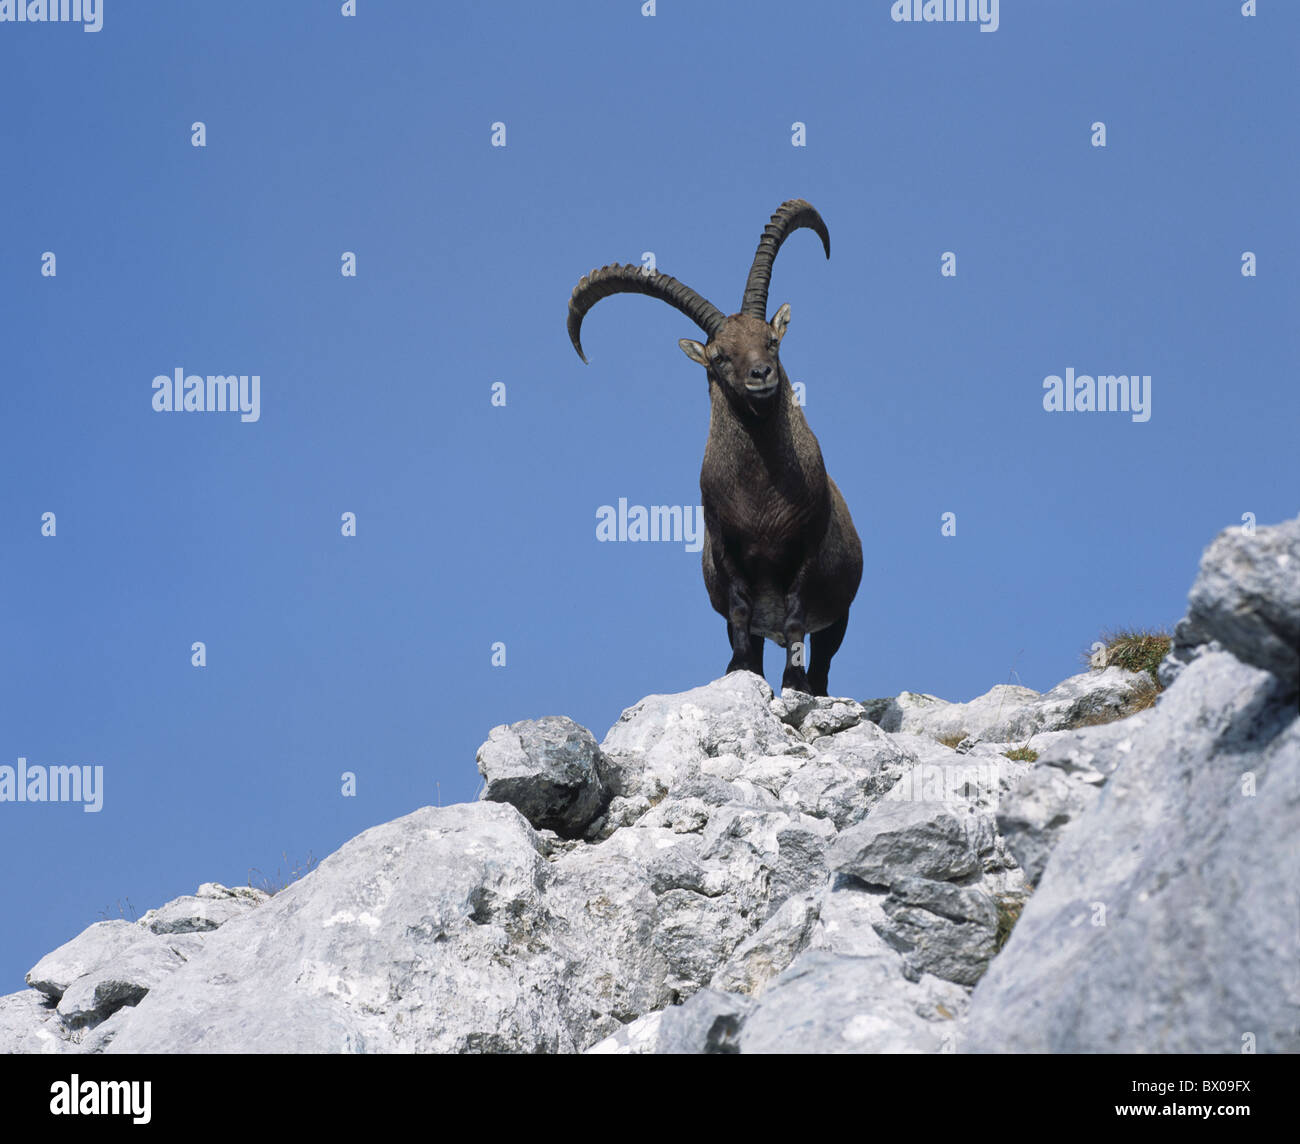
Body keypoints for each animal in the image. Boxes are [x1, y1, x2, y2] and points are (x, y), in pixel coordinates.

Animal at [567, 199, 862, 697]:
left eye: (771, 340)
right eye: (720, 356)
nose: (761, 375)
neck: (762, 495)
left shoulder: (806, 550)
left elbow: (796, 616)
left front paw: (793, 683)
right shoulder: (728, 554)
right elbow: (741, 613)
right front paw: (740, 672)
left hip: (838, 616)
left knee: (819, 657)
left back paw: (812, 686)